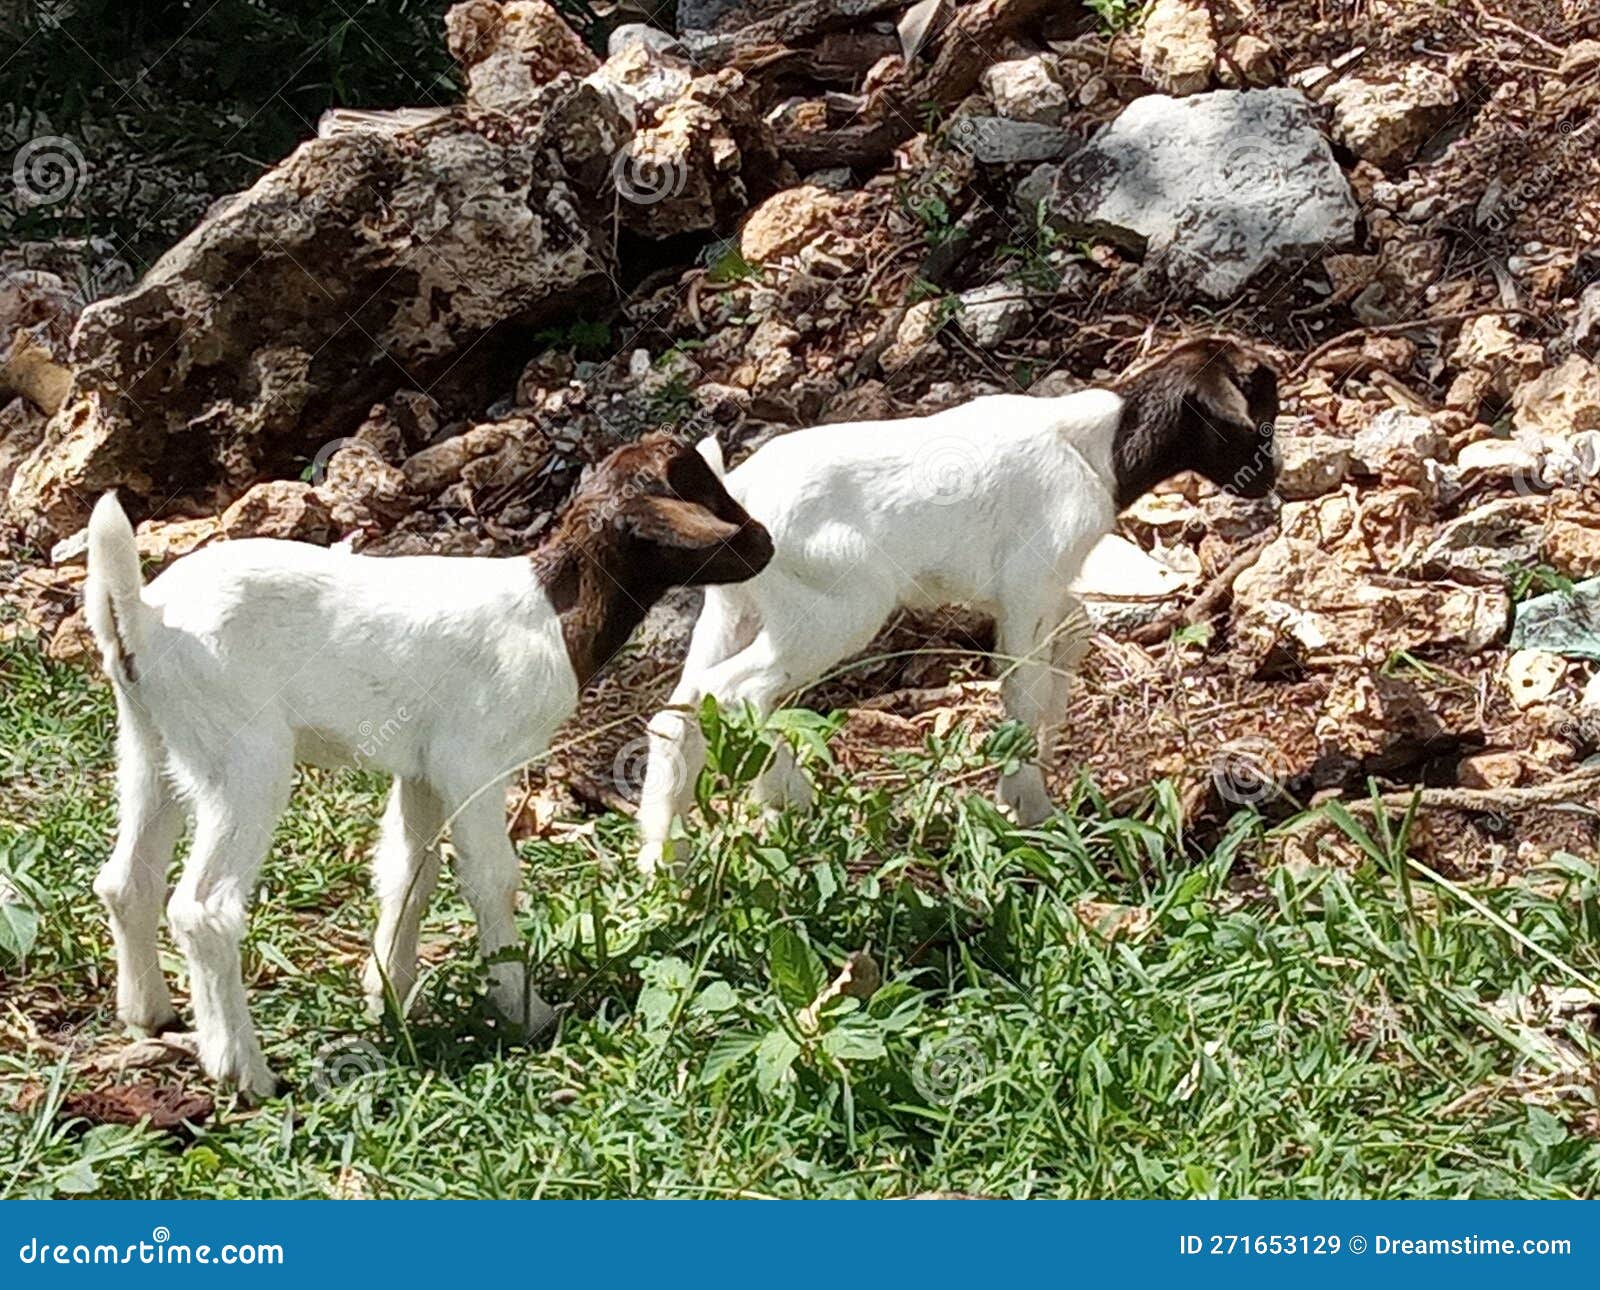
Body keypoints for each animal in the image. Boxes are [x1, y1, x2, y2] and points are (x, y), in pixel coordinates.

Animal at [84, 436, 772, 1099]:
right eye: (701, 492)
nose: (764, 544)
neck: (551, 612)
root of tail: (141, 618)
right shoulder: (473, 761)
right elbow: (492, 878)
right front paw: (526, 1009)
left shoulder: (421, 771)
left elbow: (409, 873)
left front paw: (389, 990)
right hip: (243, 758)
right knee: (203, 909)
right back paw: (243, 1071)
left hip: (153, 746)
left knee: (126, 879)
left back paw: (149, 1014)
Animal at [637, 339, 1279, 872]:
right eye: (1260, 420)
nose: (1268, 478)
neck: (1099, 448)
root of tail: (738, 496)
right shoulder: (1027, 586)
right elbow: (1021, 689)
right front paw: (1030, 805)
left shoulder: (1047, 591)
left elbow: (1070, 638)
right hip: (835, 611)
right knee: (738, 693)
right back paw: (787, 794)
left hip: (736, 610)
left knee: (678, 708)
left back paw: (666, 855)